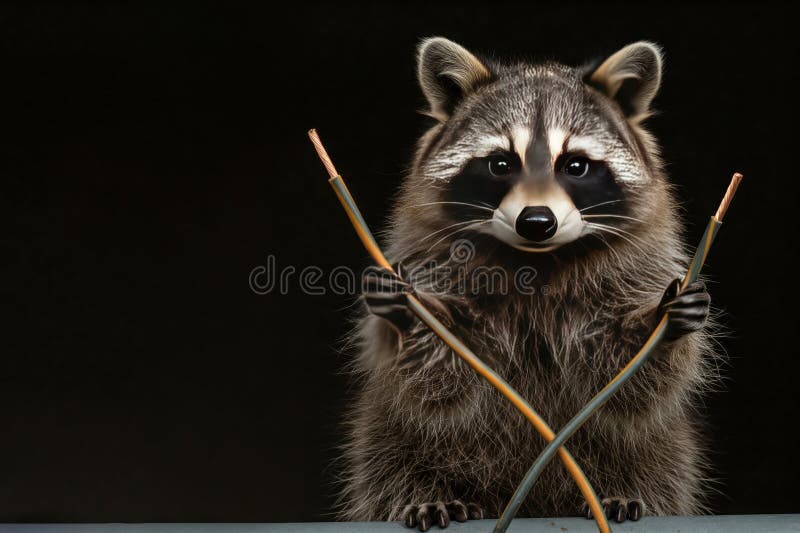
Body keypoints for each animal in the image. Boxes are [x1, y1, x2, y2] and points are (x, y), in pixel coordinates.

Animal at [338, 38, 716, 530]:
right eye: (501, 164)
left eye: (576, 165)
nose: (537, 222)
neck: (538, 263)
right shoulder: (437, 268)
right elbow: (439, 383)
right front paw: (408, 318)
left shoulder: (633, 275)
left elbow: (629, 387)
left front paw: (661, 326)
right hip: (386, 441)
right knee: (395, 465)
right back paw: (431, 495)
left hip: (664, 454)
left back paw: (618, 494)